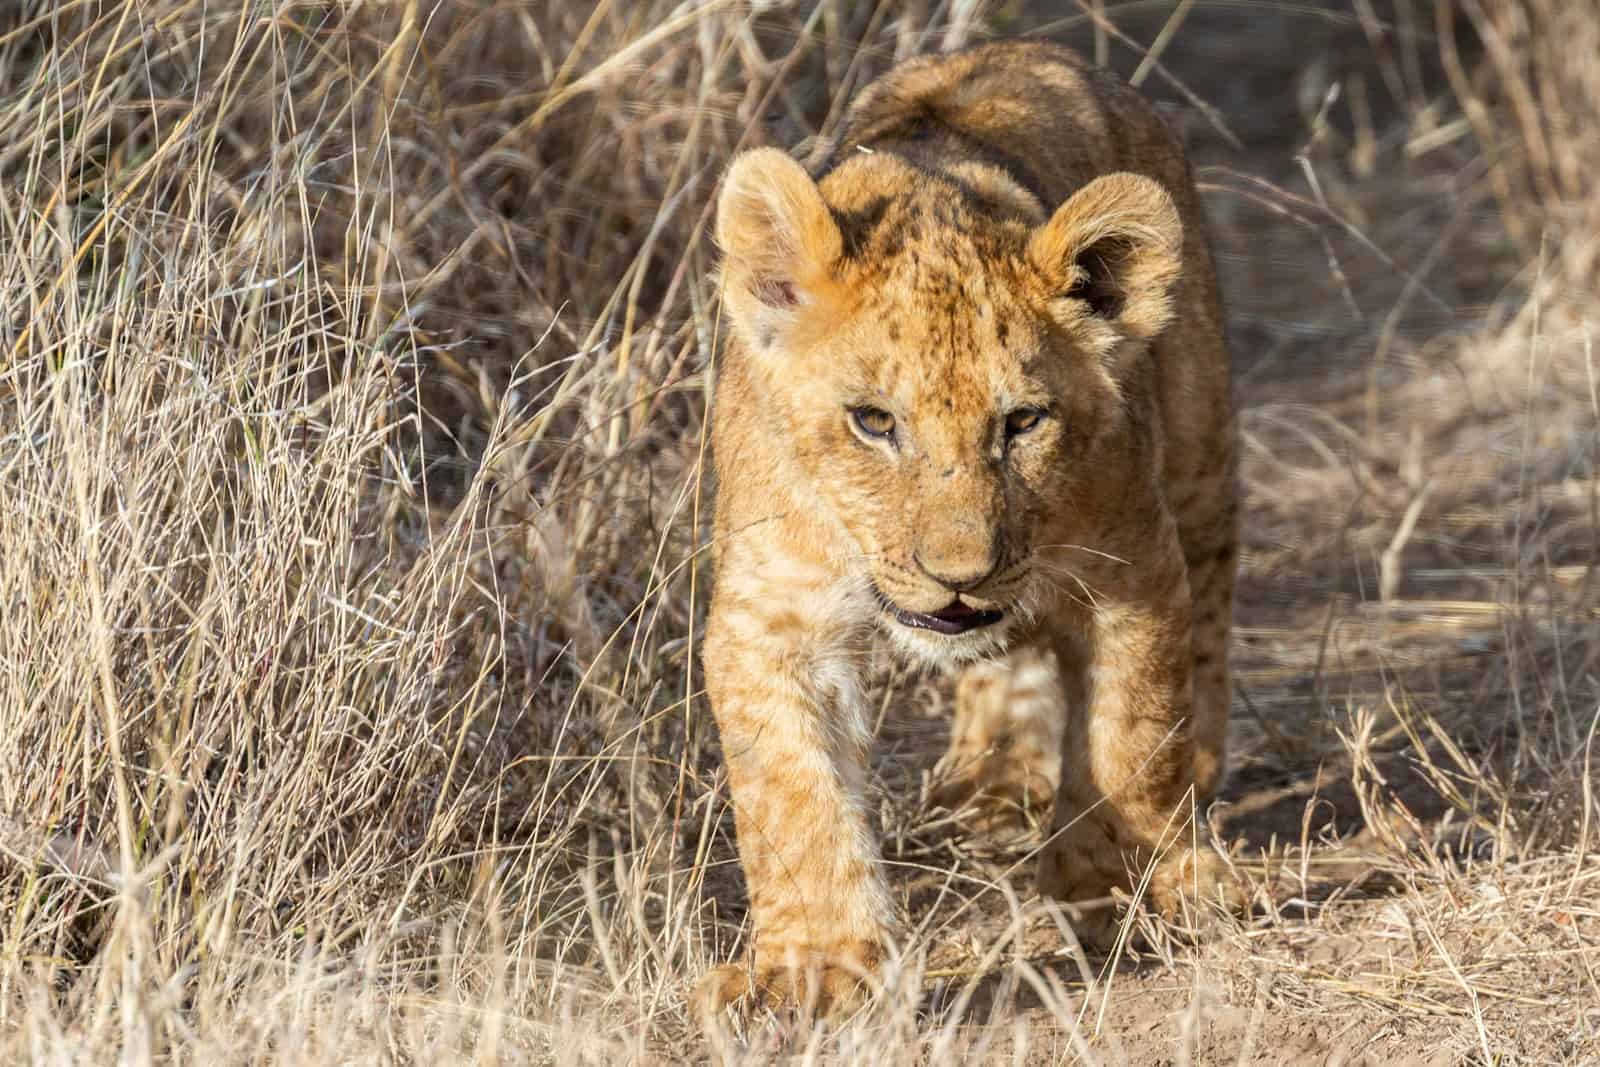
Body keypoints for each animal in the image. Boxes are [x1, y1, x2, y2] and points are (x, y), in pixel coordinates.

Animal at [699, 40, 1236, 1015]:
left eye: (1022, 422)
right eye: (874, 421)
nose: (961, 573)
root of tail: (1022, 46)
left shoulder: (1131, 565)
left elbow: (1132, 732)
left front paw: (1114, 883)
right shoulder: (772, 612)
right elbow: (792, 792)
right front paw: (816, 968)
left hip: (1201, 437)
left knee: (1207, 609)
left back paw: (1197, 789)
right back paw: (993, 773)